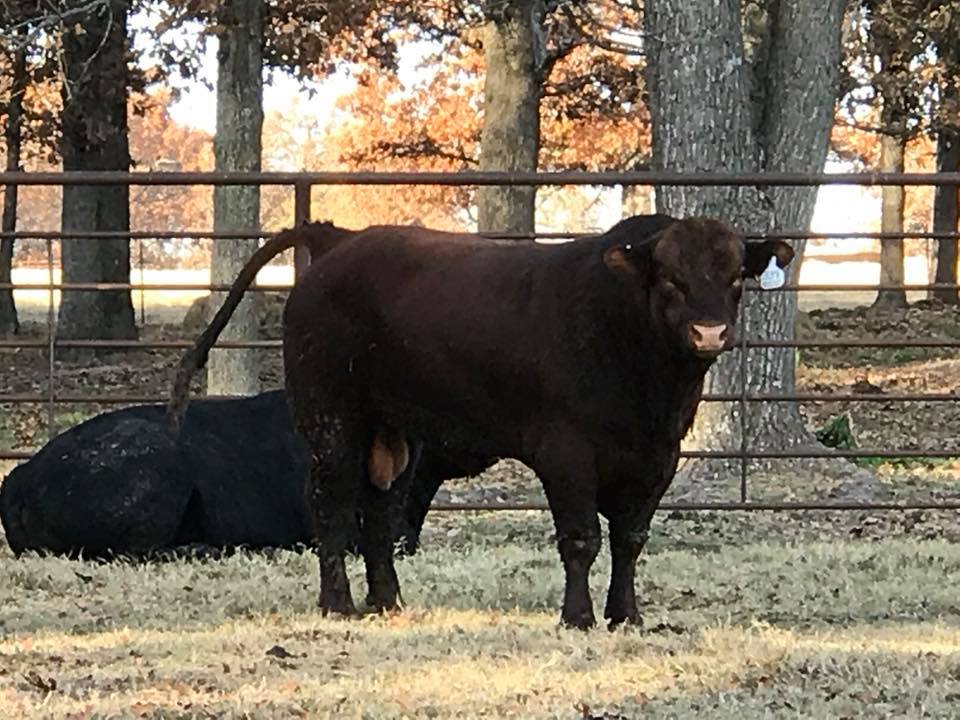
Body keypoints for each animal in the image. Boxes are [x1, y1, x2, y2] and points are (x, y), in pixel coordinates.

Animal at [168, 213, 794, 629]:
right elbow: (582, 538)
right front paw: (579, 618)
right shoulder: (566, 452)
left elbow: (631, 538)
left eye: (736, 278)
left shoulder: (659, 456)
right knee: (332, 503)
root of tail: (340, 240)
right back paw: (338, 603)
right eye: (668, 279)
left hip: (391, 429)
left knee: (378, 511)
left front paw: (627, 615)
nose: (710, 332)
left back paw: (388, 601)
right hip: (332, 418)